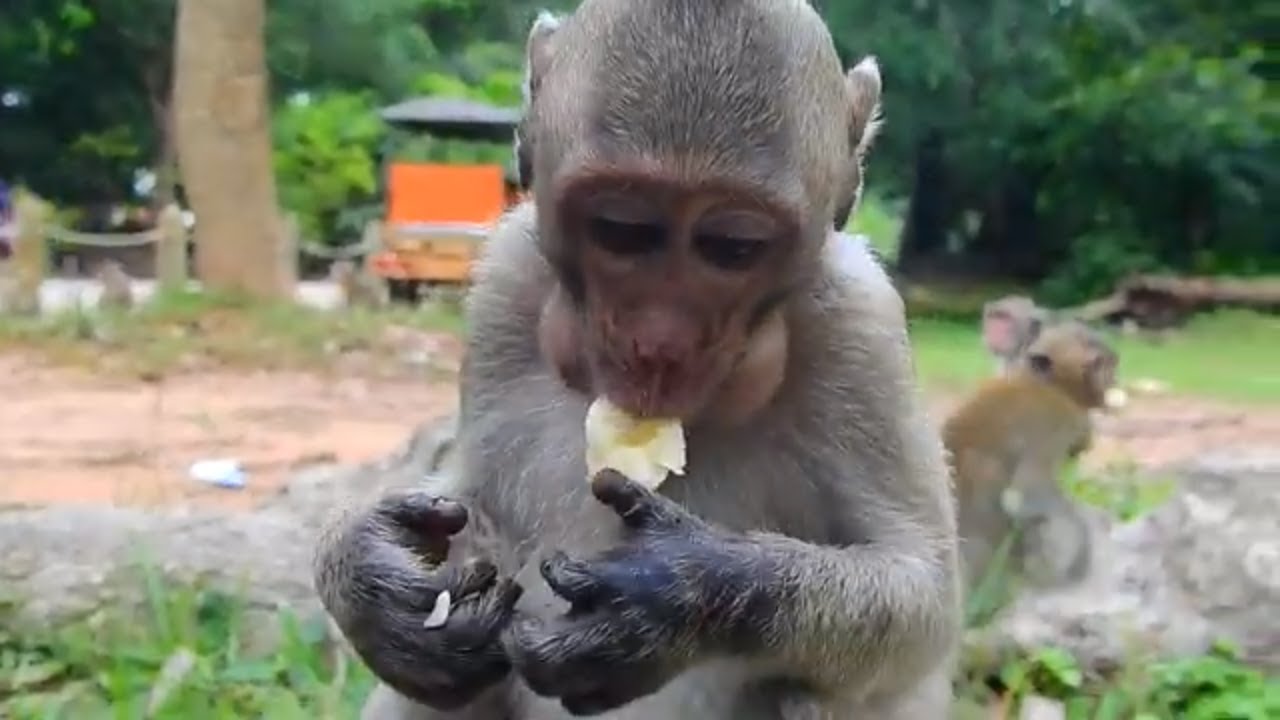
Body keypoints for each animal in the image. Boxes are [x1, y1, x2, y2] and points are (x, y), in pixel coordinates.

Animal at [315, 3, 961, 719]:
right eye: (622, 230)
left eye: (733, 245)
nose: (660, 343)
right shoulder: (507, 281)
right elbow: (466, 504)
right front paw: (368, 572)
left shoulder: (860, 323)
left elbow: (922, 597)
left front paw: (677, 593)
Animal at [942, 319, 1118, 603]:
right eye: (1097, 363)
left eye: (1108, 363)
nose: (1111, 380)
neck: (1046, 384)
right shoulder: (1056, 420)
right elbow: (1026, 494)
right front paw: (1082, 546)